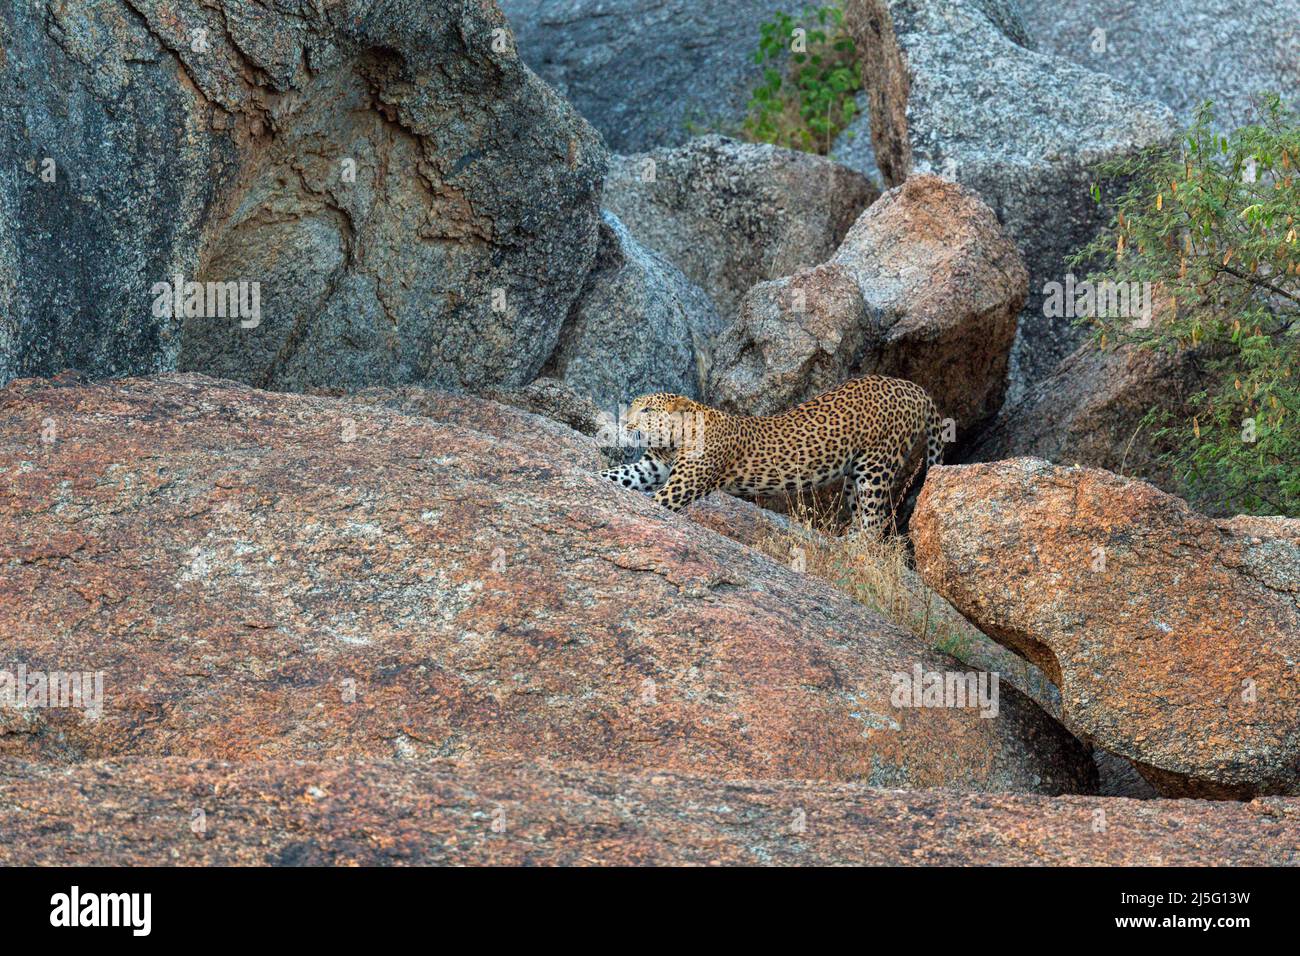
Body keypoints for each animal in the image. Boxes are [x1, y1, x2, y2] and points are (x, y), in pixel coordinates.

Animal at [599, 375, 945, 536]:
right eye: (634, 406)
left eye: (647, 410)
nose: (625, 423)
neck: (674, 440)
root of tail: (913, 387)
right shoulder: (651, 468)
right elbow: (617, 475)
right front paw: (592, 478)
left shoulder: (679, 488)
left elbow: (653, 502)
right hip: (853, 477)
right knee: (862, 515)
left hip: (876, 466)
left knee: (876, 519)